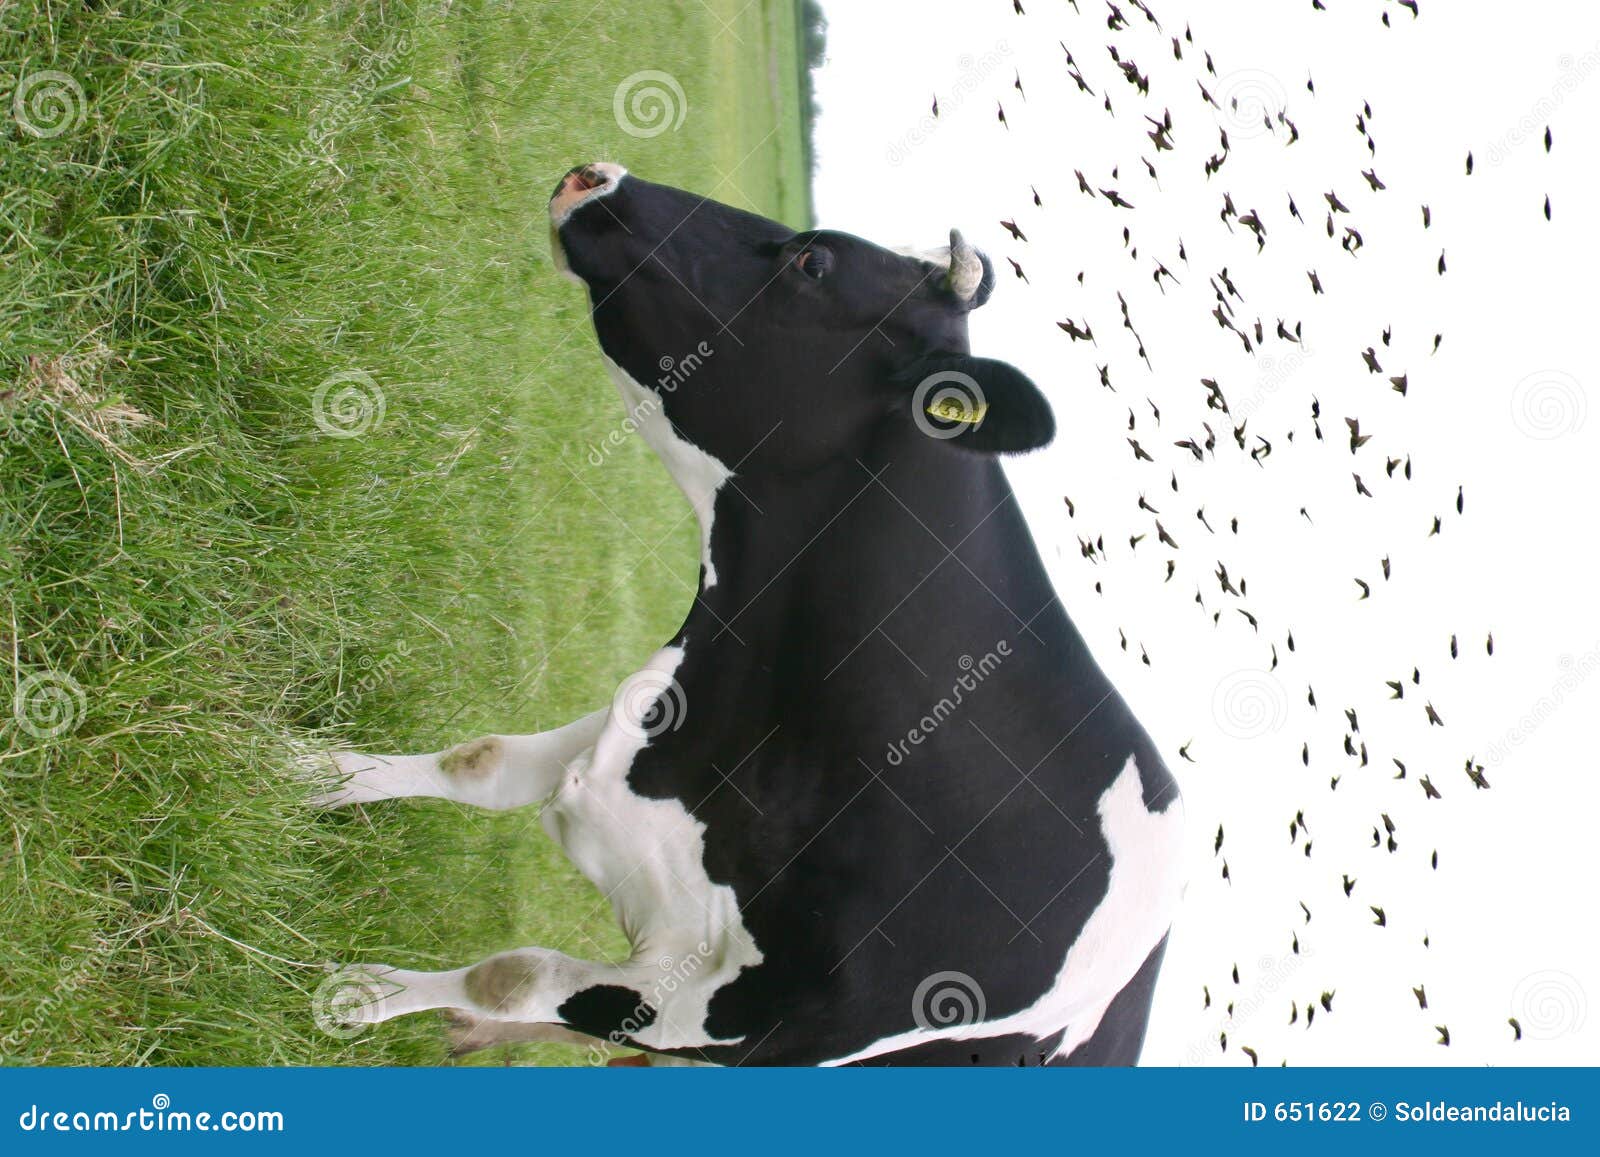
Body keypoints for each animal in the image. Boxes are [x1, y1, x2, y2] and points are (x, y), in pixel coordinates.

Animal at [309, 162, 1185, 1066]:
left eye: (813, 264)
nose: (593, 176)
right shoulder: (651, 717)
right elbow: (477, 763)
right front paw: (309, 773)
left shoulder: (736, 1020)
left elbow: (513, 975)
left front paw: (358, 996)